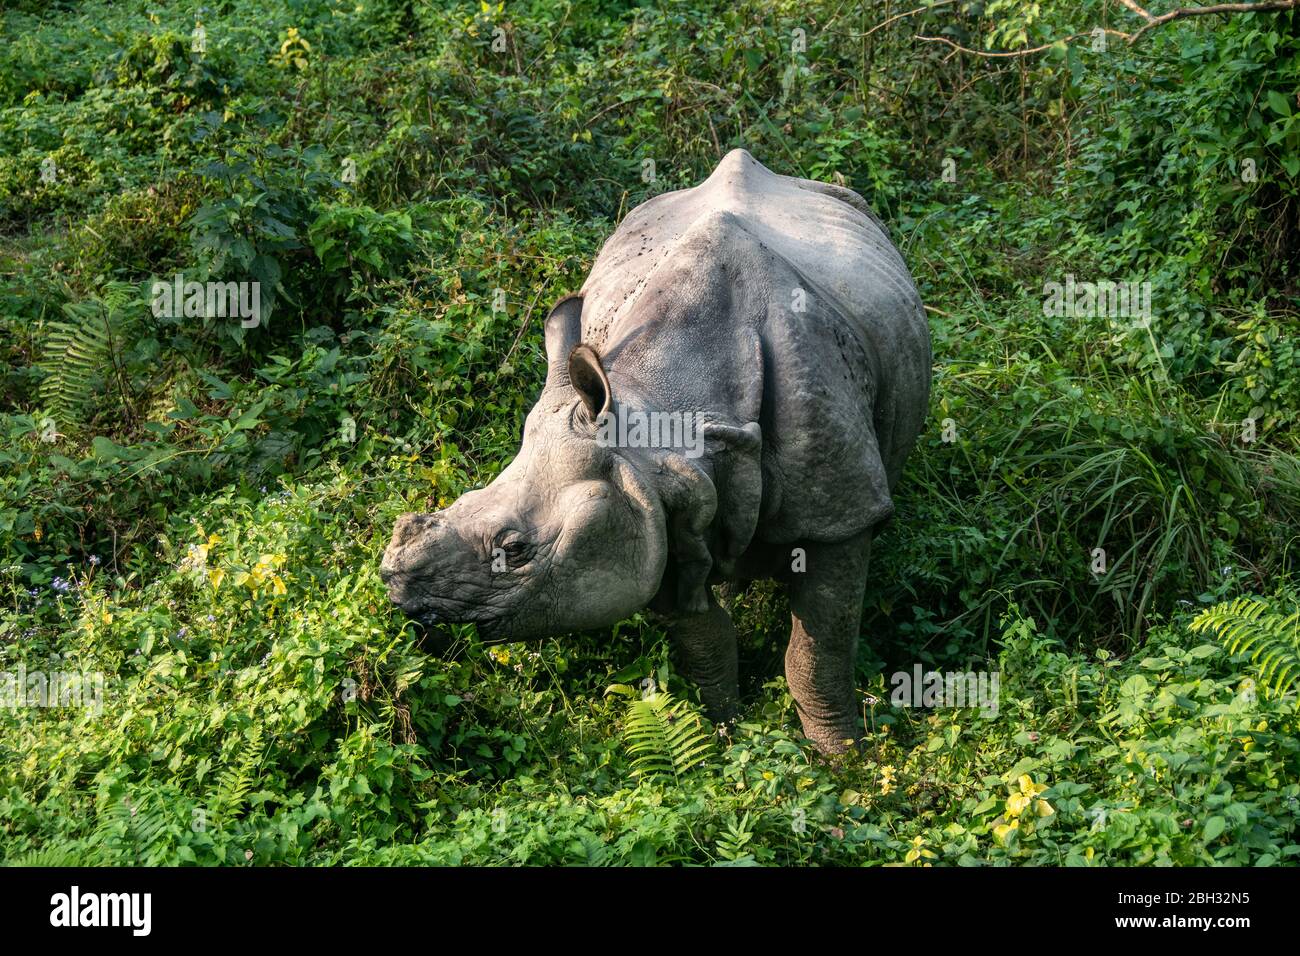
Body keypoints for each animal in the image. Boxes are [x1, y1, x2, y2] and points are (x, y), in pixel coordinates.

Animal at [381, 149, 931, 752]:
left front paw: (840, 758)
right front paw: (725, 742)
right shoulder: (648, 504)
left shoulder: (840, 514)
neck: (668, 422)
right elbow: (707, 647)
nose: (395, 587)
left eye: (515, 548)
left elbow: (818, 651)